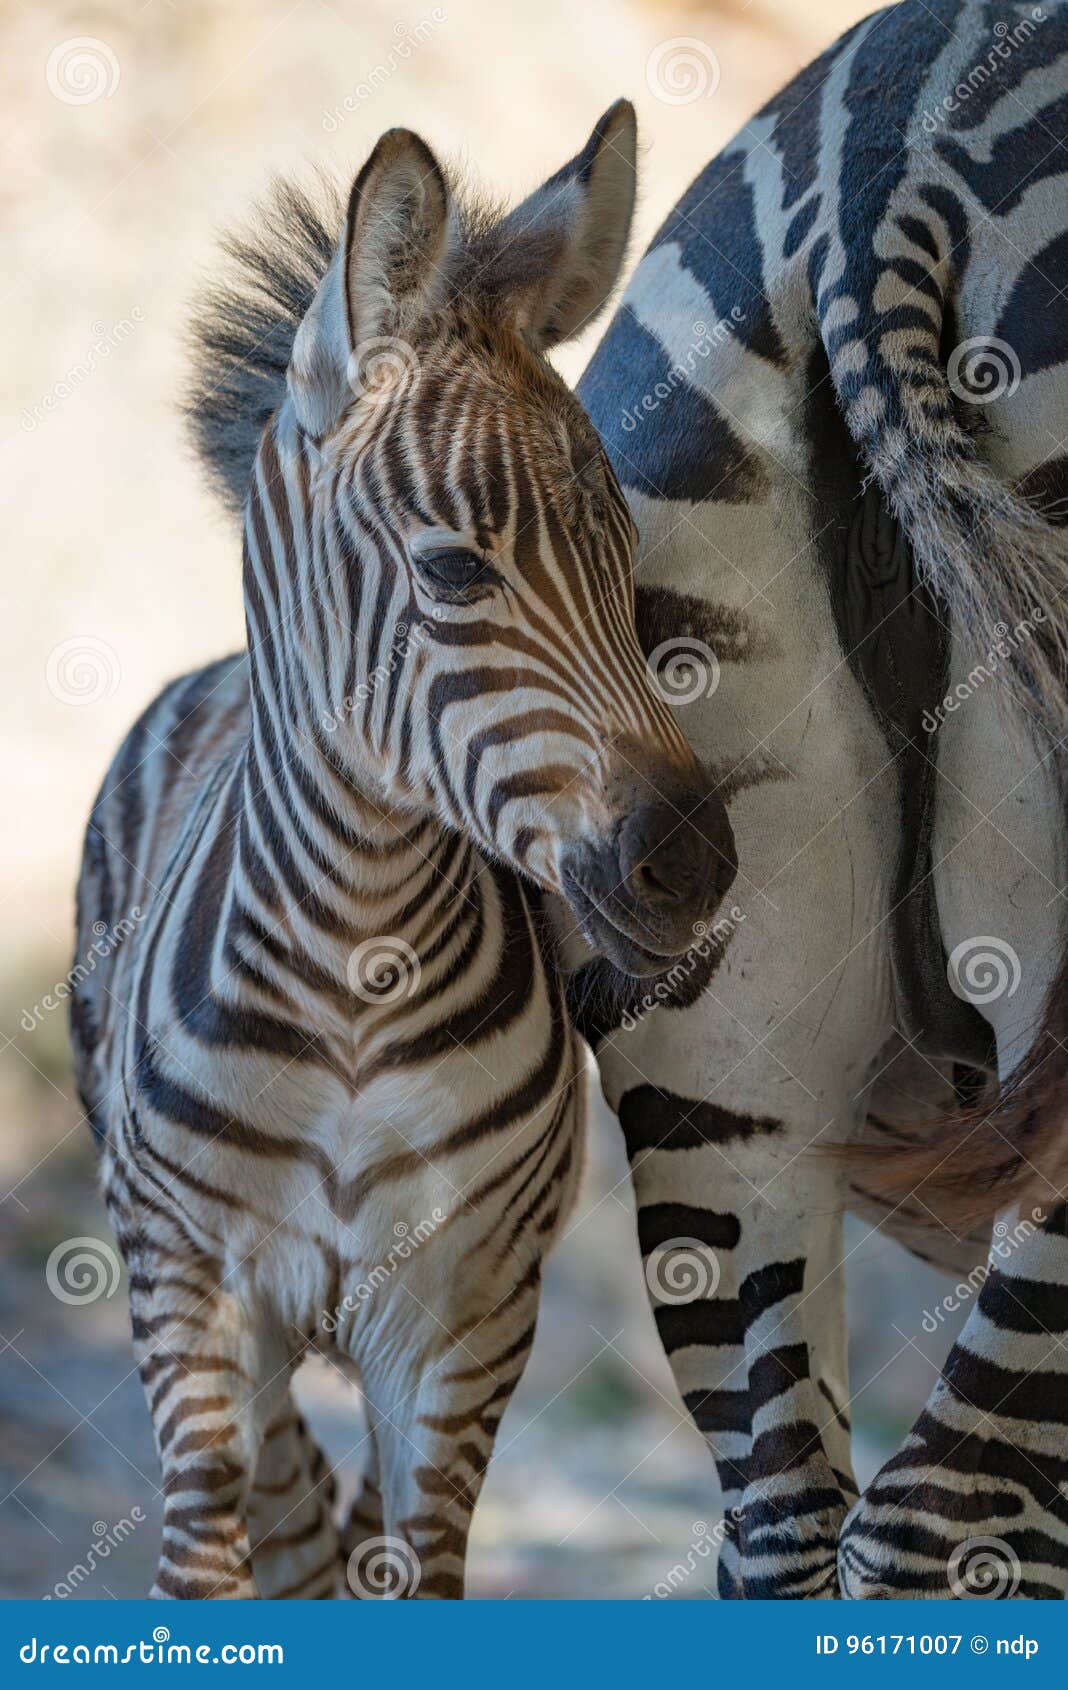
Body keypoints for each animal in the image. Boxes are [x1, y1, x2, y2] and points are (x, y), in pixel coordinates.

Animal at [68, 105, 735, 1599]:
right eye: (451, 573)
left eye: (629, 556)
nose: (692, 865)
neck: (354, 964)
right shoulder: (189, 1290)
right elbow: (210, 1556)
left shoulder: (461, 1319)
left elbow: (415, 1568)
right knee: (283, 1512)